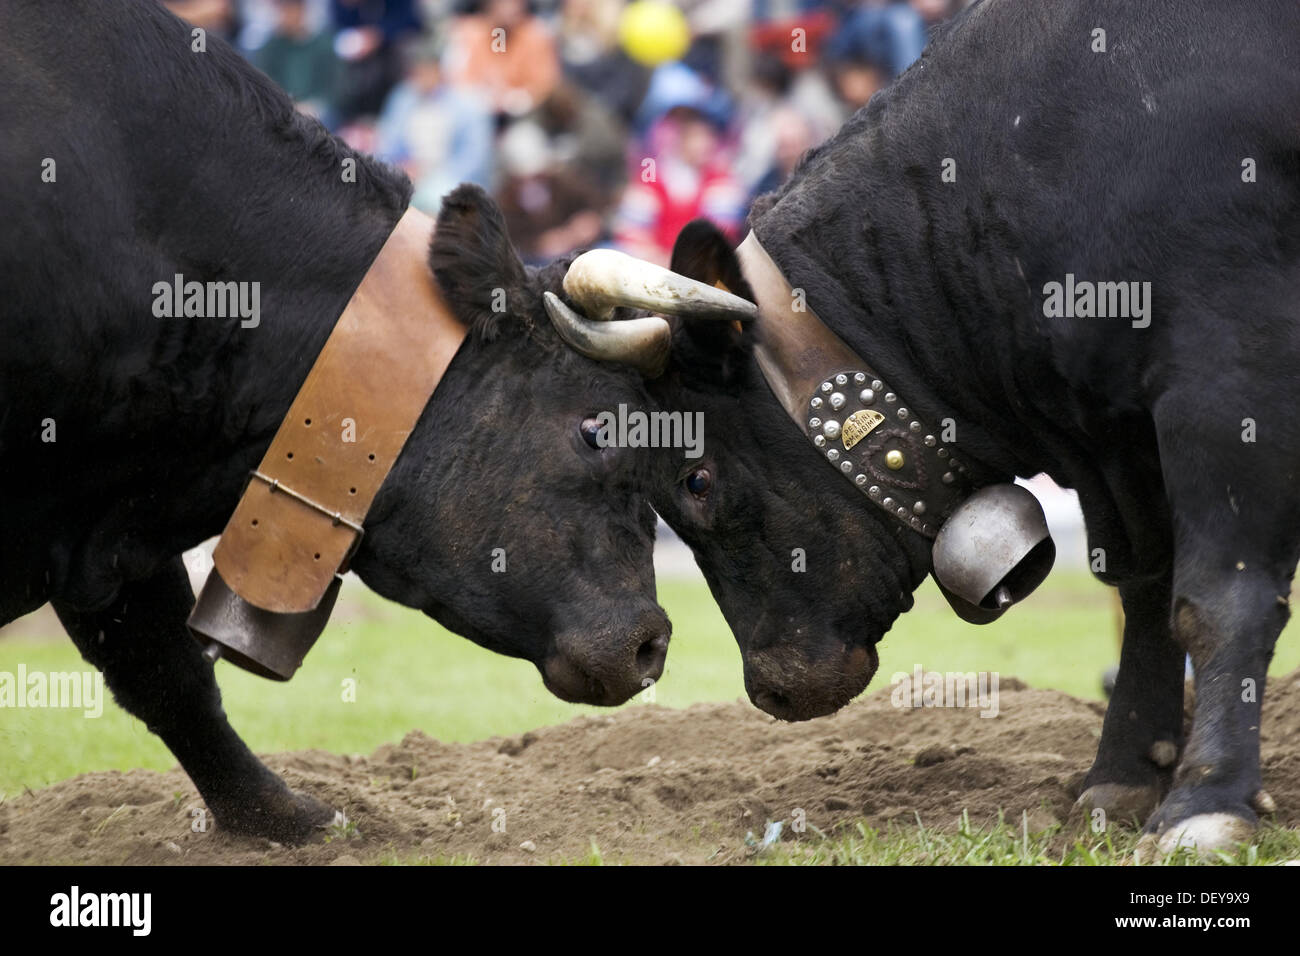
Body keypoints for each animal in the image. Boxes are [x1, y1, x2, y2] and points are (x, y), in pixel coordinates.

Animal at [547, 0, 1300, 854]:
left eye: (696, 478)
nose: (770, 686)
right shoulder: (1122, 440)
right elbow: (1147, 590)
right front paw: (1120, 780)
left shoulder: (1228, 376)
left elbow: (1218, 596)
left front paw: (1206, 803)